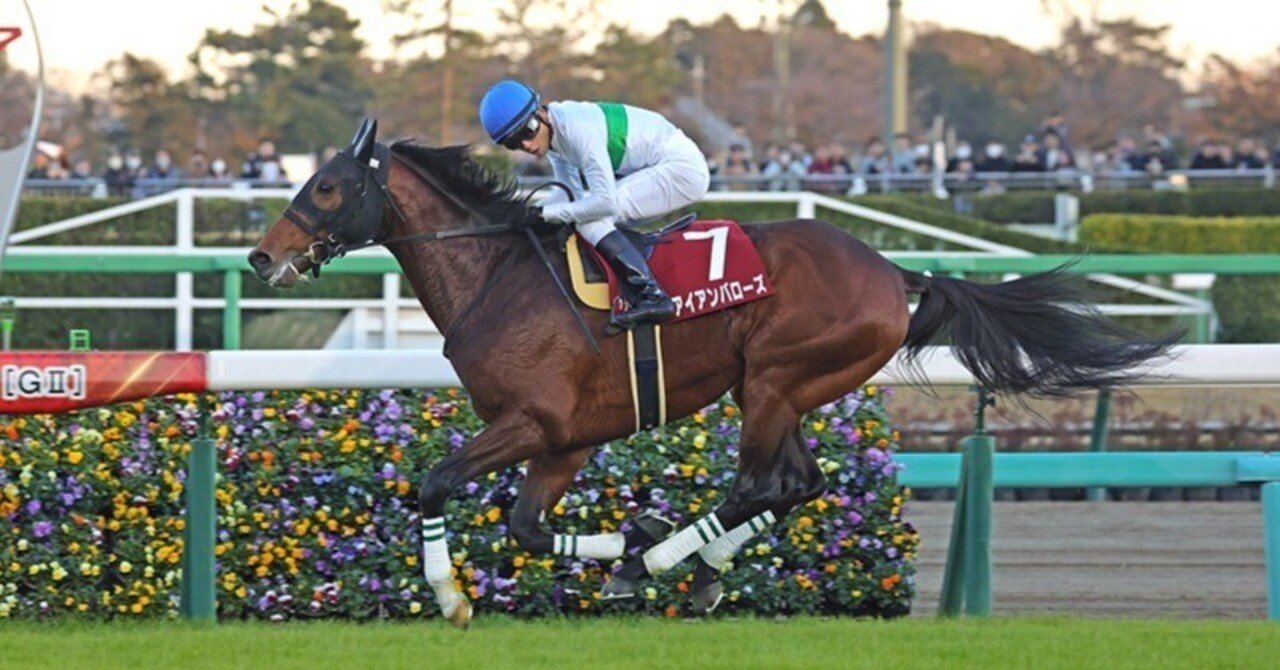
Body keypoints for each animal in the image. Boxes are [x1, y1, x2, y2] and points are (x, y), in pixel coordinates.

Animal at [249, 119, 1173, 627]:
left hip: (774, 380)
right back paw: (698, 572)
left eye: (326, 186)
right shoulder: (564, 442)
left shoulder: (533, 423)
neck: (499, 276)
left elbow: (439, 485)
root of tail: (892, 271)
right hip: (786, 390)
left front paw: (452, 596)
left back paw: (668, 563)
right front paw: (627, 541)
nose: (262, 256)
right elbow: (526, 528)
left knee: (762, 484)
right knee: (798, 483)